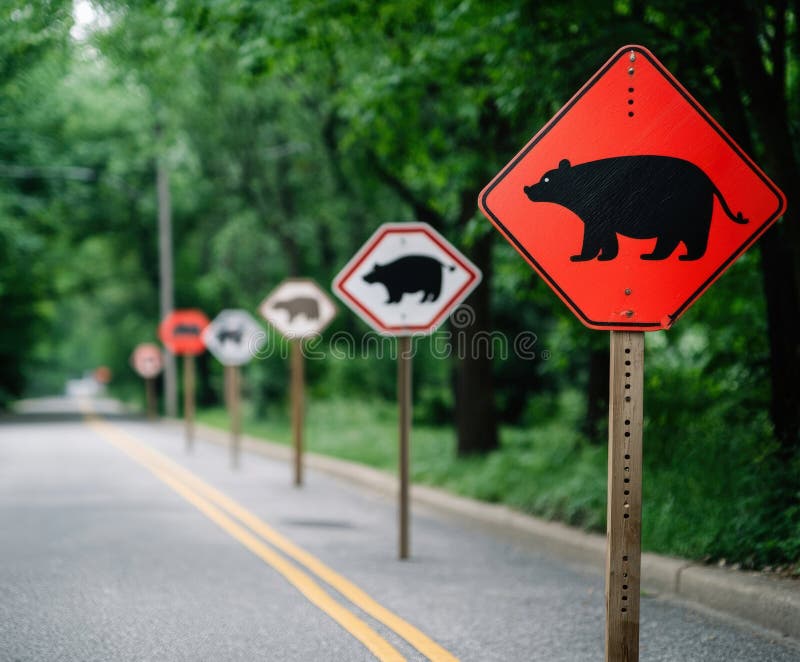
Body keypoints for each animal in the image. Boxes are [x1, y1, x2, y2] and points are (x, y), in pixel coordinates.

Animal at [522, 156, 748, 262]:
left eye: (547, 178)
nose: (526, 188)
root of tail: (709, 181)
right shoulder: (599, 217)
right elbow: (608, 239)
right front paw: (605, 256)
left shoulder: (597, 212)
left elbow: (593, 237)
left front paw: (580, 257)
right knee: (675, 238)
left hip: (685, 208)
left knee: (690, 235)